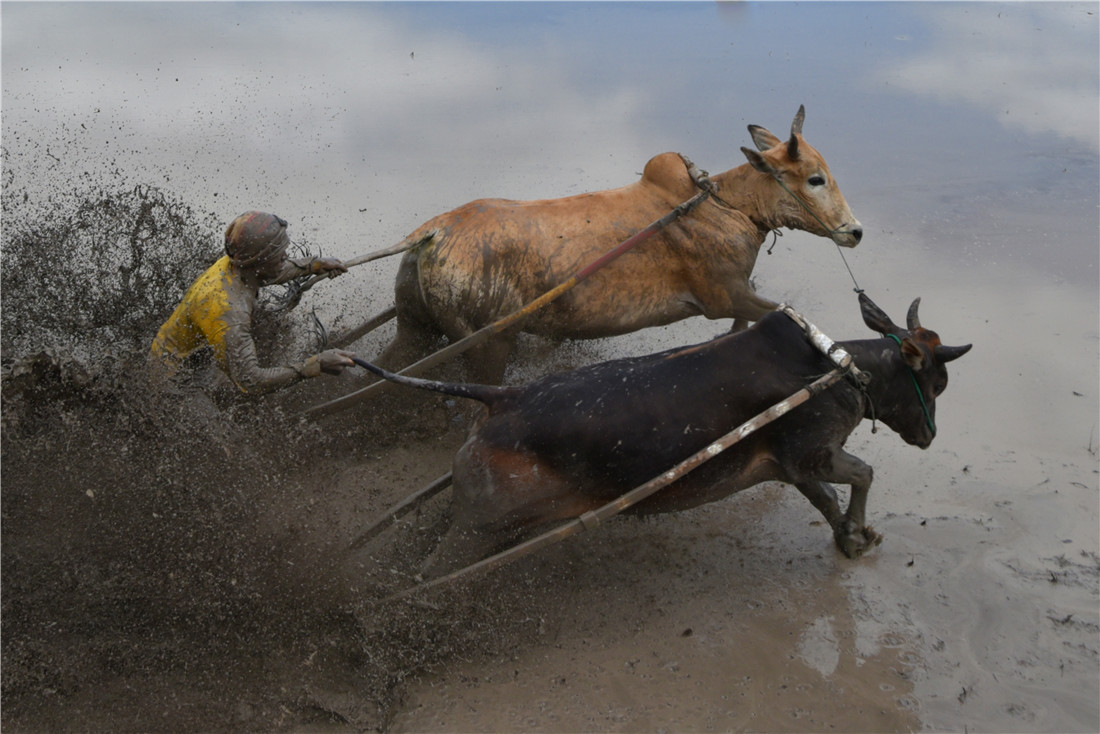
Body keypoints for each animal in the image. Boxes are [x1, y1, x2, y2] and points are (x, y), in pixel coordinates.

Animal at [353, 294, 970, 577]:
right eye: (937, 381)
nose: (930, 436)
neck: (836, 368)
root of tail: (503, 398)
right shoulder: (816, 451)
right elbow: (864, 474)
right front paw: (861, 533)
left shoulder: (793, 467)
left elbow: (826, 502)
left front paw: (849, 536)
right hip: (478, 529)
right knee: (416, 582)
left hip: (475, 516)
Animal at [375, 106, 863, 385]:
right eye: (815, 178)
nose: (854, 231)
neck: (723, 205)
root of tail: (434, 232)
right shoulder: (724, 297)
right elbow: (785, 314)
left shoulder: (738, 296)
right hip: (487, 344)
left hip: (415, 326)